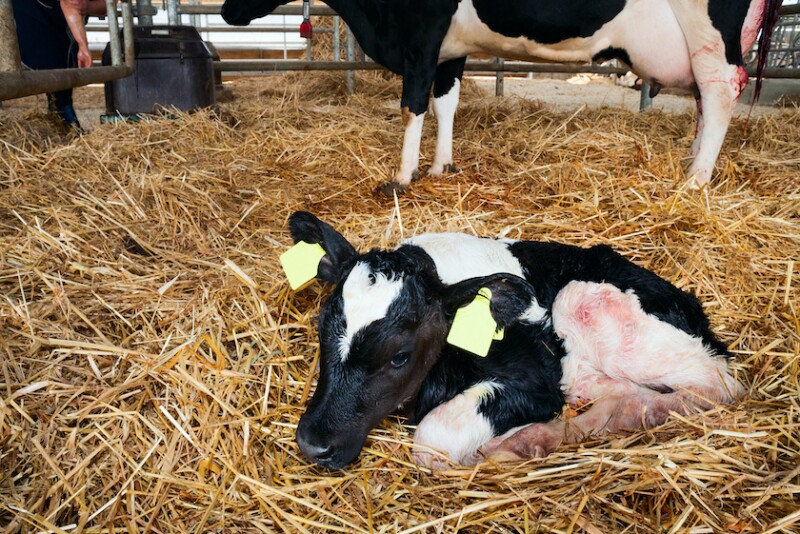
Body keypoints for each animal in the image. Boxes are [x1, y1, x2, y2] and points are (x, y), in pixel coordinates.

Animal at [222, 0, 783, 194]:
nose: (225, 11)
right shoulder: (450, 49)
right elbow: (445, 102)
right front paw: (440, 166)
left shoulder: (421, 34)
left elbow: (412, 104)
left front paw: (401, 177)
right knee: (704, 103)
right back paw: (691, 163)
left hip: (708, 32)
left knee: (720, 89)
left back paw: (695, 180)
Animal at [285, 211, 743, 469]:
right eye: (321, 327)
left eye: (400, 355)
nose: (313, 444)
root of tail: (693, 309)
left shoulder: (536, 379)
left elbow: (434, 438)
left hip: (582, 299)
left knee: (716, 387)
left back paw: (521, 442)